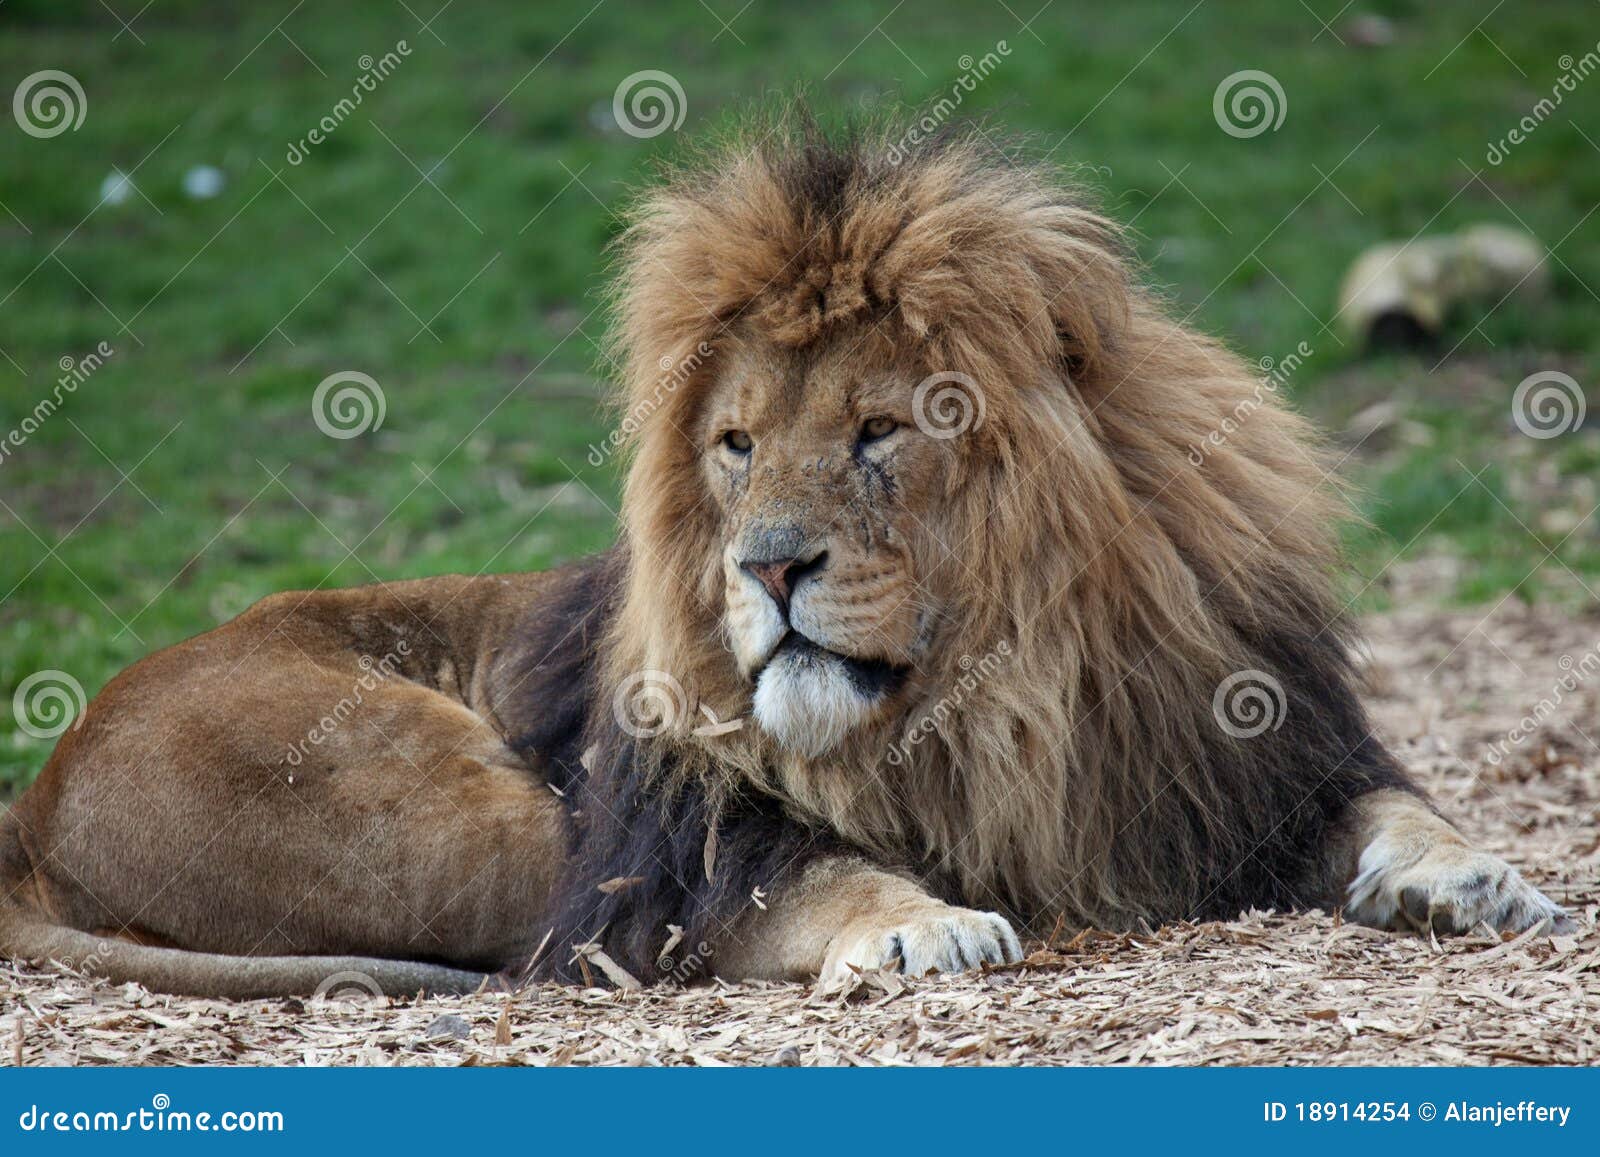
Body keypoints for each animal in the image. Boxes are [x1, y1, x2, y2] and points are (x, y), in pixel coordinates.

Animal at [0, 118, 1570, 997]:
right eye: (737, 444)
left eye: (881, 431)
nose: (765, 569)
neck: (1007, 696)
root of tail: (41, 784)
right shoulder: (660, 846)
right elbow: (798, 879)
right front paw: (921, 929)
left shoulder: (1249, 751)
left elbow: (1396, 805)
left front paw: (1475, 876)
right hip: (449, 804)